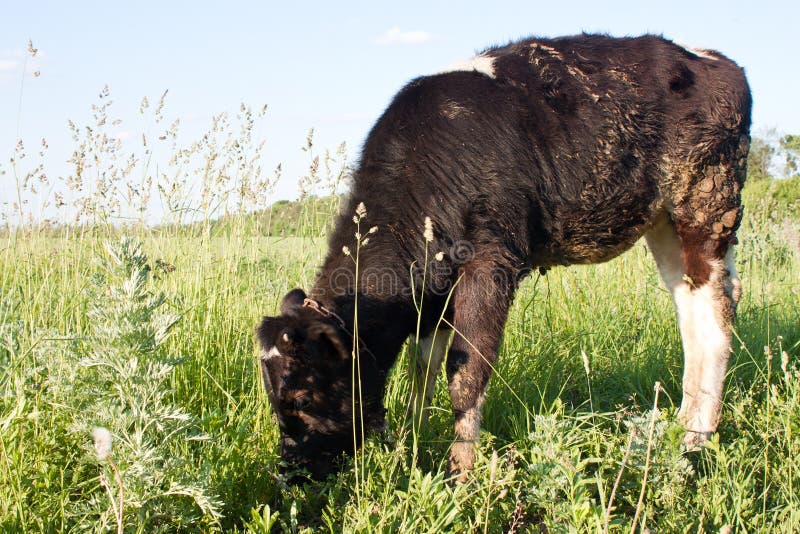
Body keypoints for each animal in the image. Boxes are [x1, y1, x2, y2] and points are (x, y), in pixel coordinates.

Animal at [257, 33, 751, 482]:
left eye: (301, 398)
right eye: (270, 397)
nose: (290, 474)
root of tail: (709, 58)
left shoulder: (491, 265)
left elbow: (466, 373)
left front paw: (460, 473)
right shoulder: (434, 289)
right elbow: (423, 368)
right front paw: (414, 445)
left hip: (705, 210)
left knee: (714, 317)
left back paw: (696, 440)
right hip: (665, 224)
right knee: (689, 309)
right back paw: (681, 428)